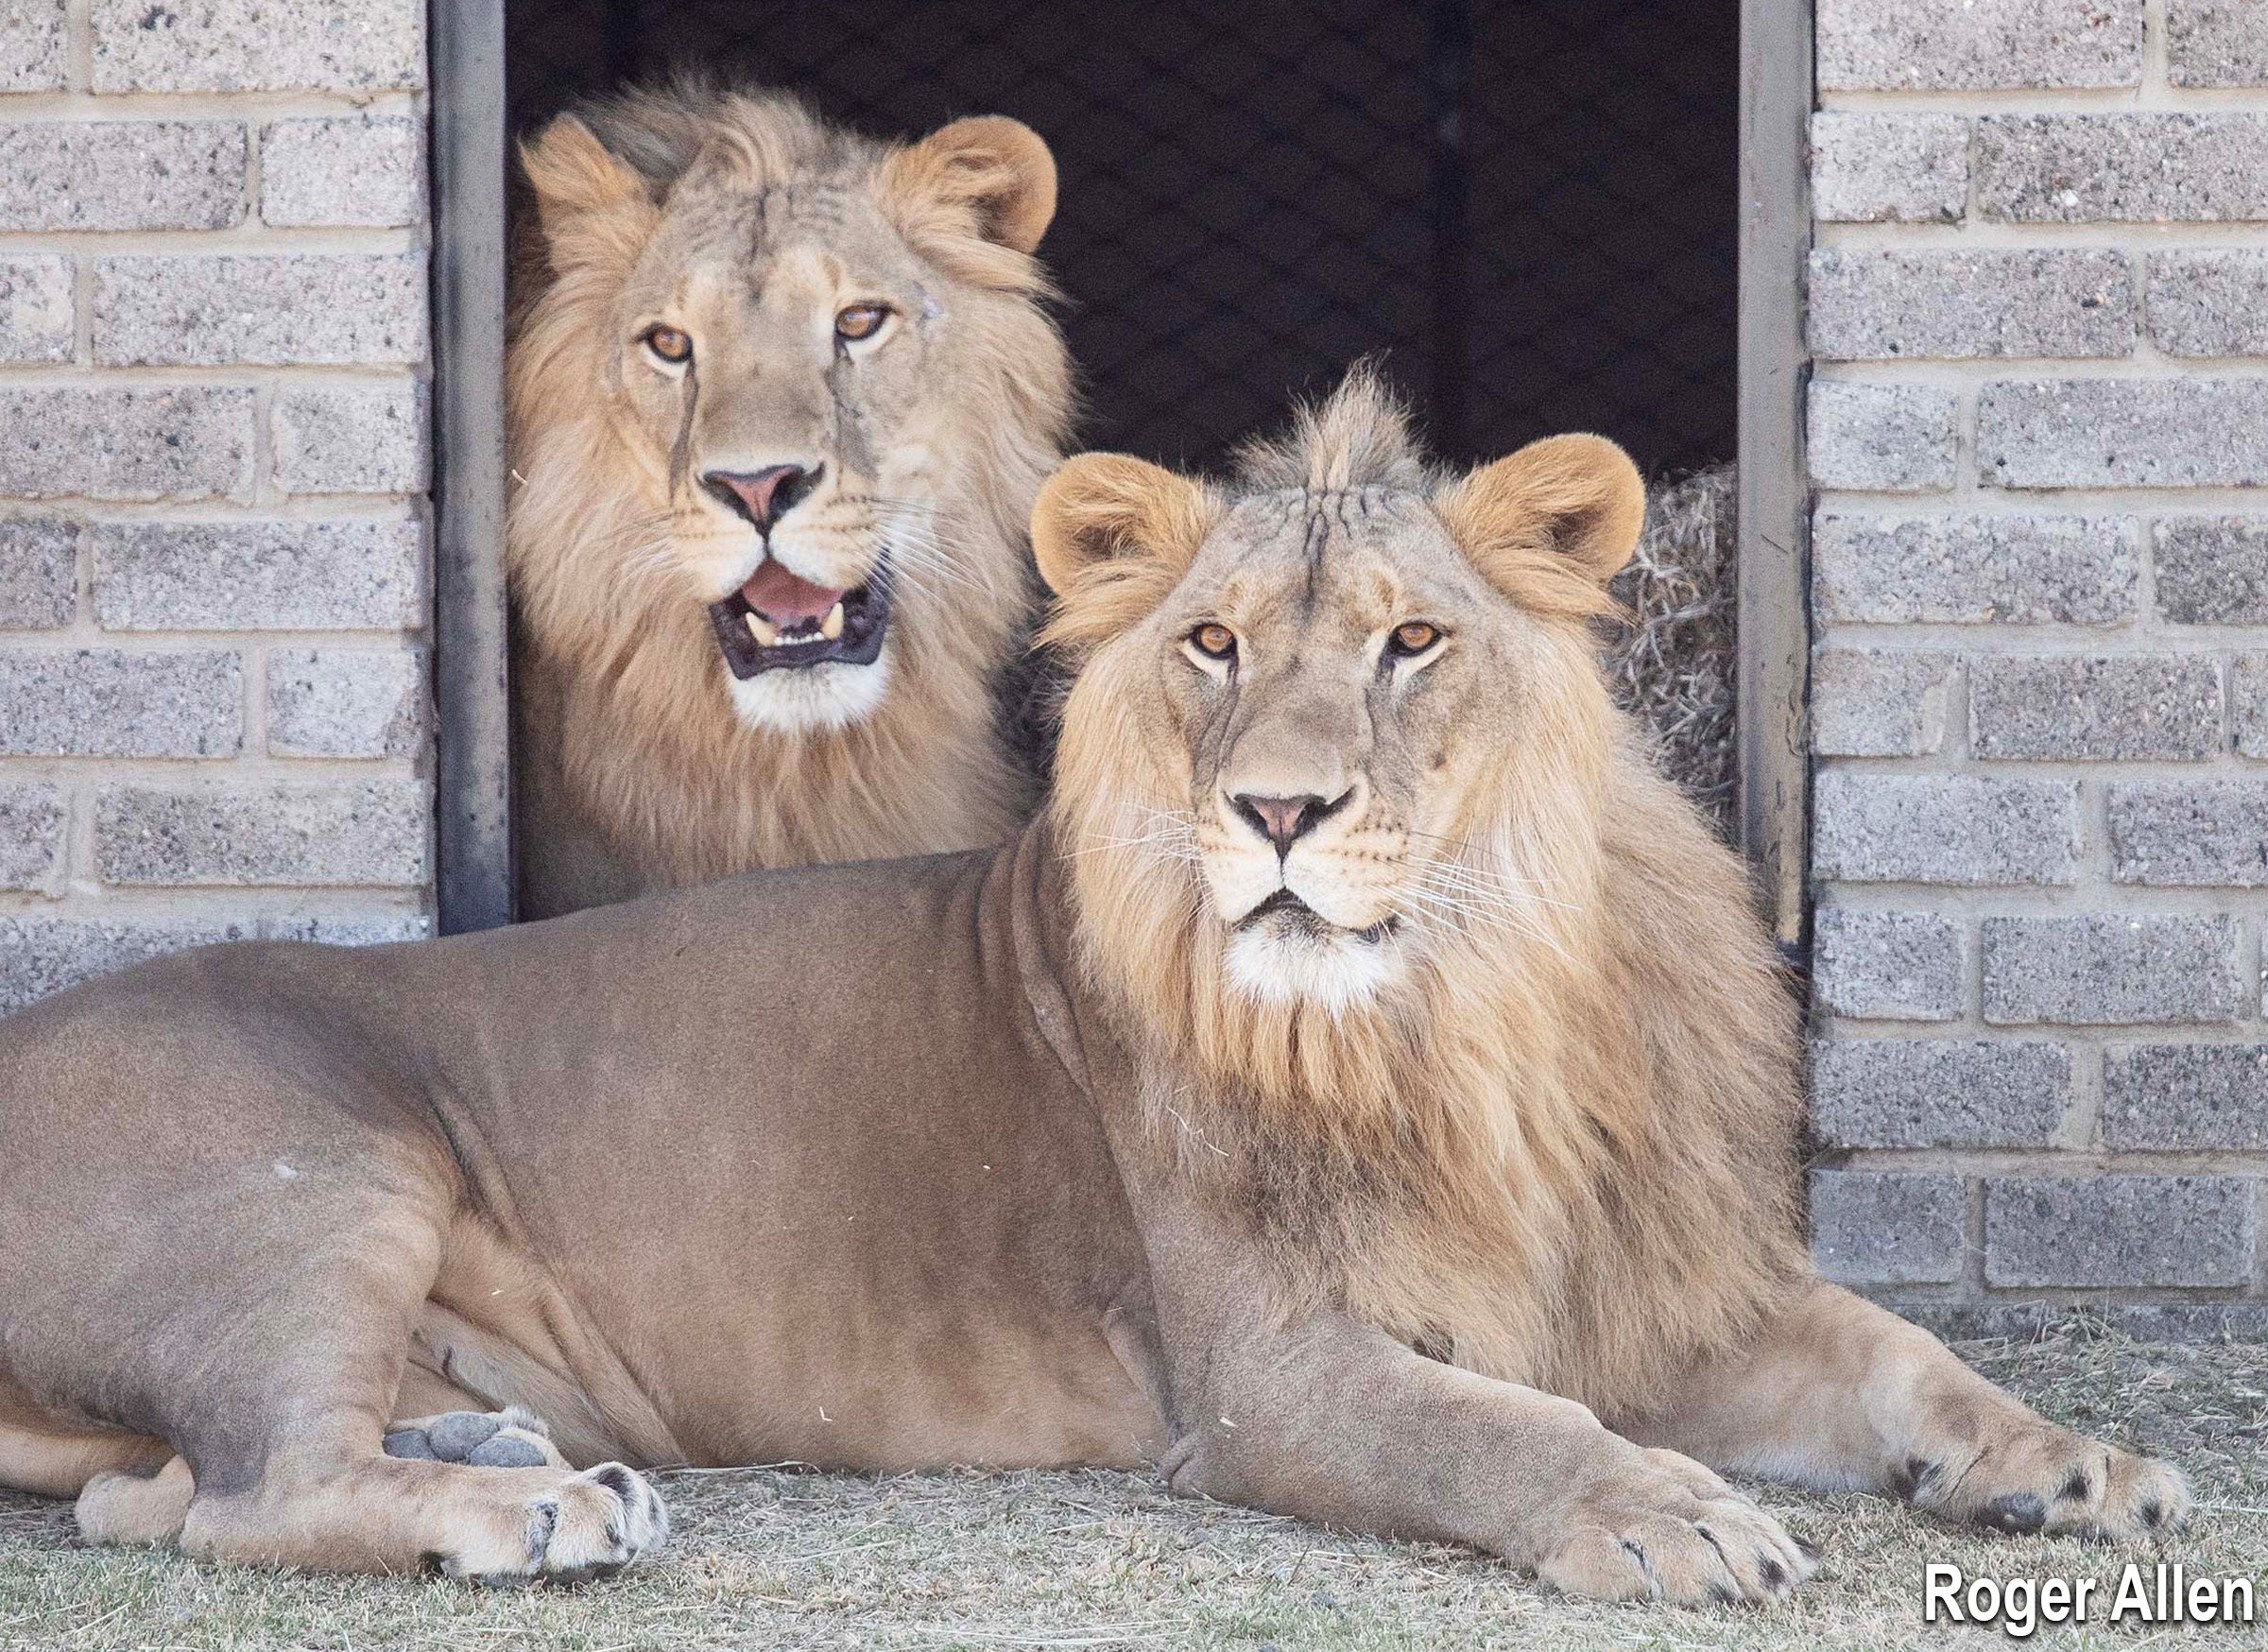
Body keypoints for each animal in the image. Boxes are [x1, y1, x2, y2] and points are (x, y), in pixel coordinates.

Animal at [0, 374, 2187, 1601]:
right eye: (1211, 642)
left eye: (1409, 642)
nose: (1281, 808)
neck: (1458, 1003)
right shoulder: (1272, 1369)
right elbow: (1500, 1433)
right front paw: (1669, 1513)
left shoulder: (1652, 1279)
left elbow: (1905, 1353)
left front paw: (2076, 1465)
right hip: (323, 1172)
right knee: (238, 1499)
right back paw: (538, 1519)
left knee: (162, 1492)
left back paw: (513, 1461)